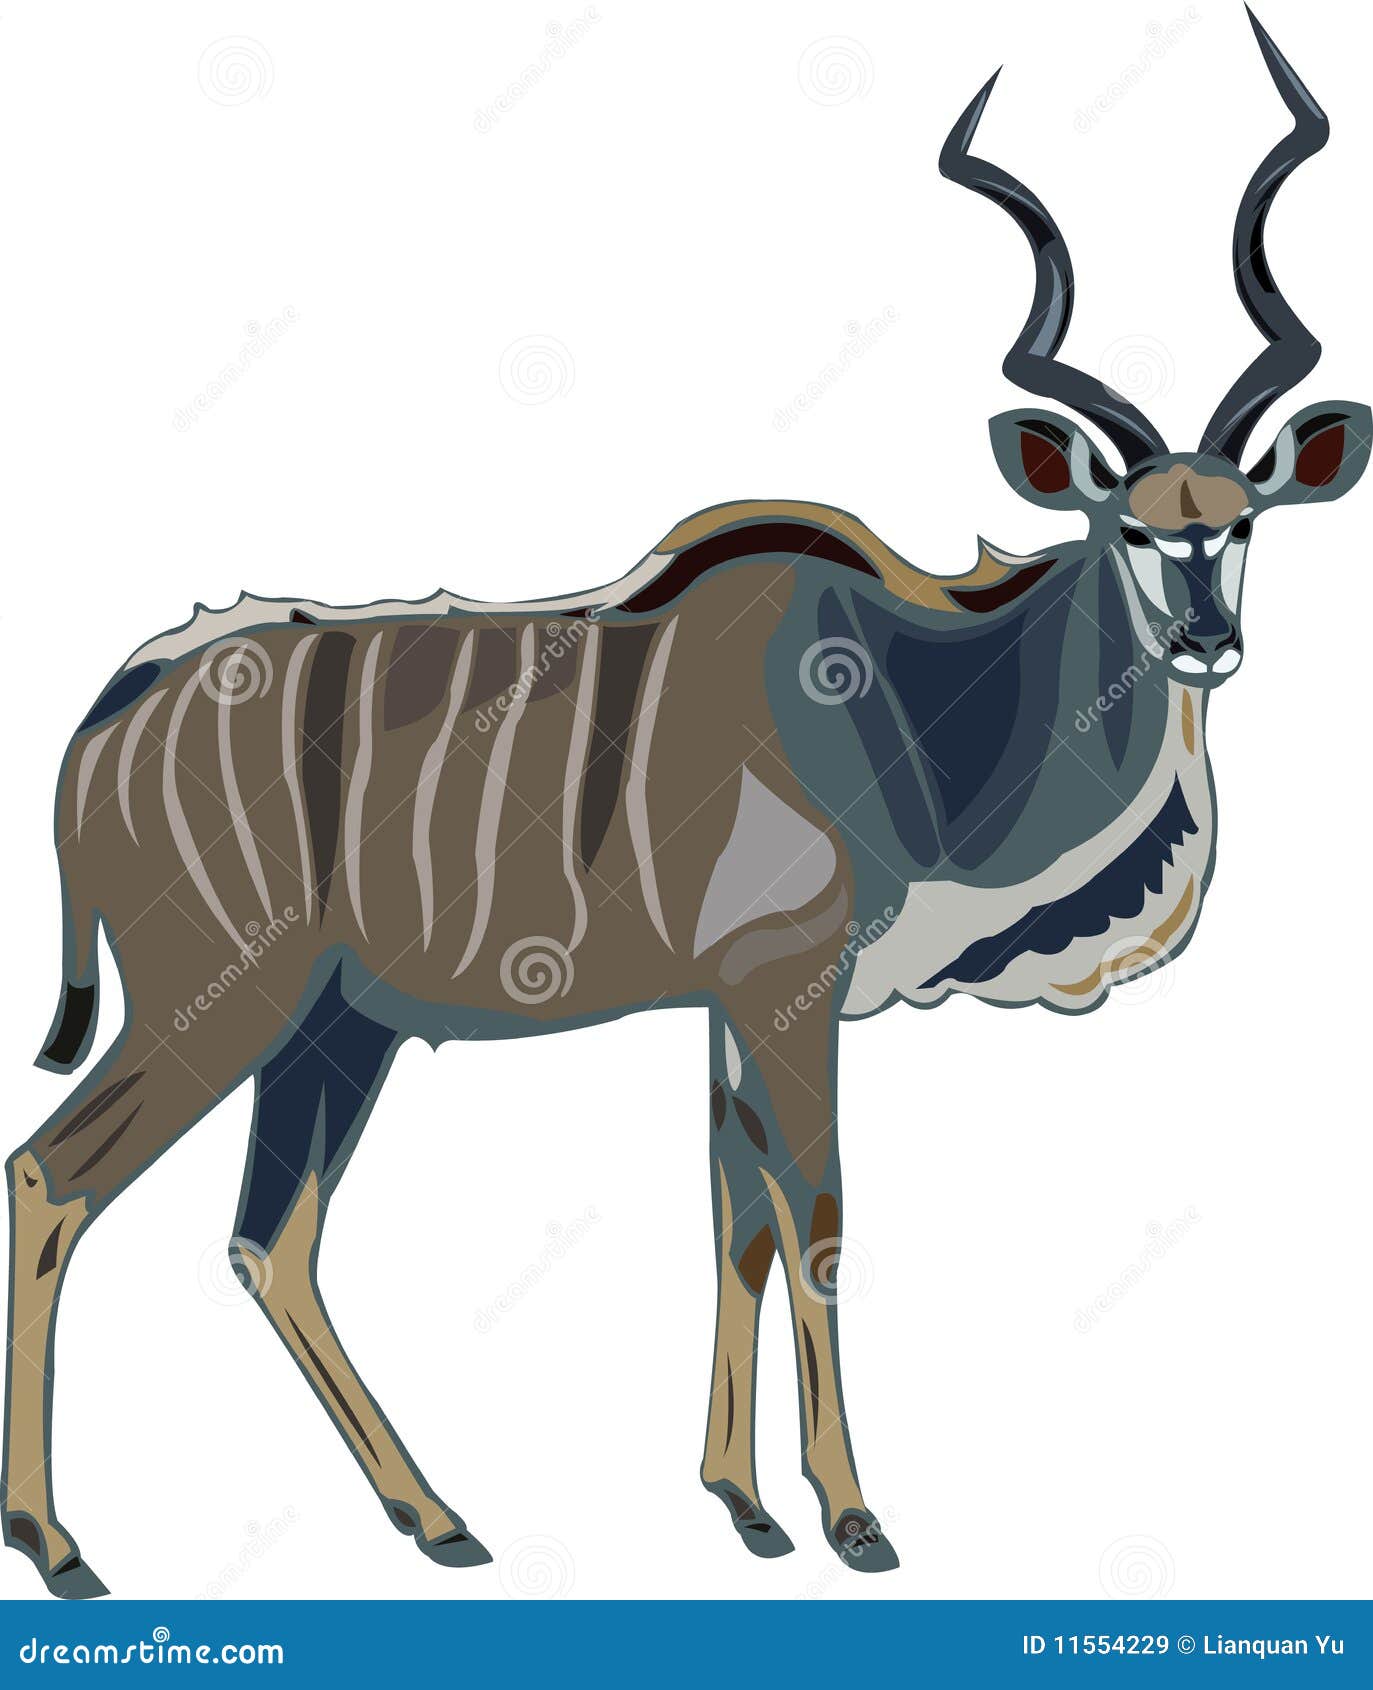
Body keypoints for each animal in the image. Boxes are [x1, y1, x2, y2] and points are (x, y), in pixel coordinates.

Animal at [5, 13, 1367, 1598]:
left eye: (1242, 518)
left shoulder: (733, 1005)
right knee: (55, 1177)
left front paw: (744, 1506)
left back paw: (440, 1519)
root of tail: (115, 703)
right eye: (1128, 524)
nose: (1208, 638)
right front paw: (855, 1520)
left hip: (334, 1027)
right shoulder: (787, 991)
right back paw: (58, 1543)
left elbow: (737, 1227)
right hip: (215, 1001)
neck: (911, 703)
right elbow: (819, 1220)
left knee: (269, 1239)